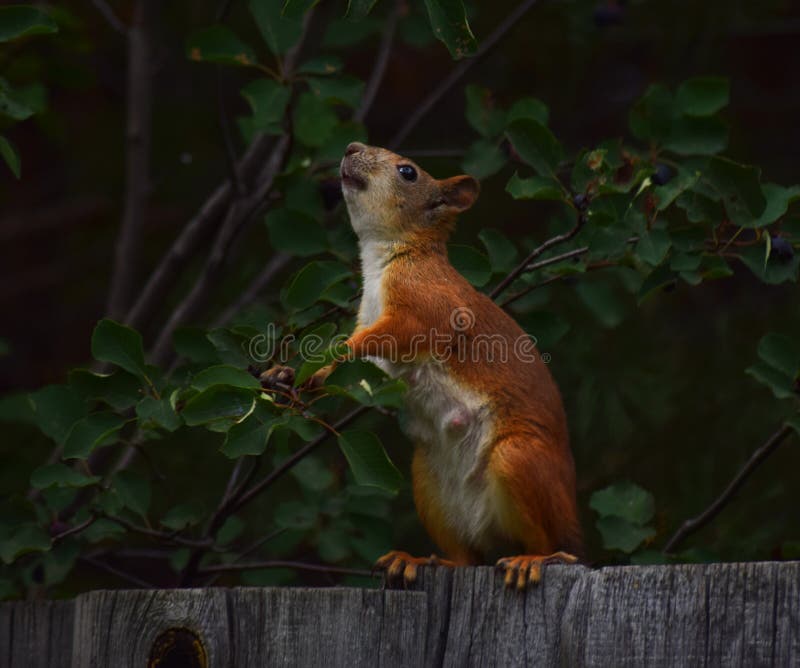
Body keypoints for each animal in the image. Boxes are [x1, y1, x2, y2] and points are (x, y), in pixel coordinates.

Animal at [337, 142, 583, 589]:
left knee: (551, 545)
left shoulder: (430, 303)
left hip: (521, 459)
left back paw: (533, 560)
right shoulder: (371, 320)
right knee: (466, 557)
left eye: (408, 171)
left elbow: (394, 334)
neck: (386, 258)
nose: (352, 148)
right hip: (428, 480)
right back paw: (420, 561)